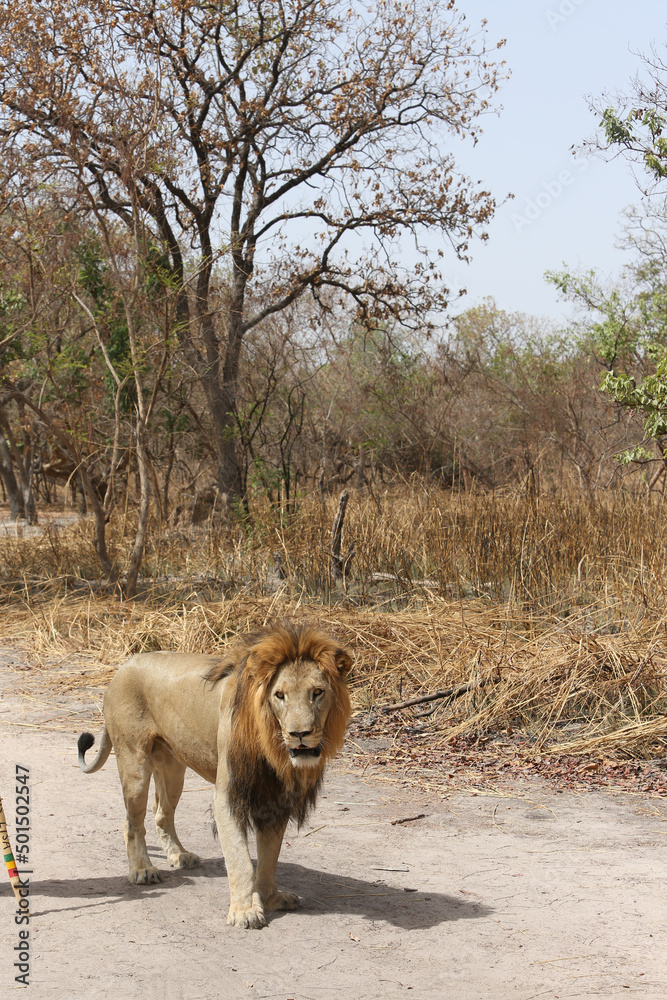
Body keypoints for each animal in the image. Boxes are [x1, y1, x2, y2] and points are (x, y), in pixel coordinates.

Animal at [77, 623, 352, 929]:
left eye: (317, 692)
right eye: (279, 695)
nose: (299, 734)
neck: (272, 744)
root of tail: (125, 665)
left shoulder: (274, 797)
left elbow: (269, 857)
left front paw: (270, 898)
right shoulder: (227, 795)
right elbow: (240, 858)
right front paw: (245, 911)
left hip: (173, 769)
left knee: (162, 813)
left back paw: (179, 855)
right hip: (134, 762)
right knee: (131, 821)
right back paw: (142, 870)